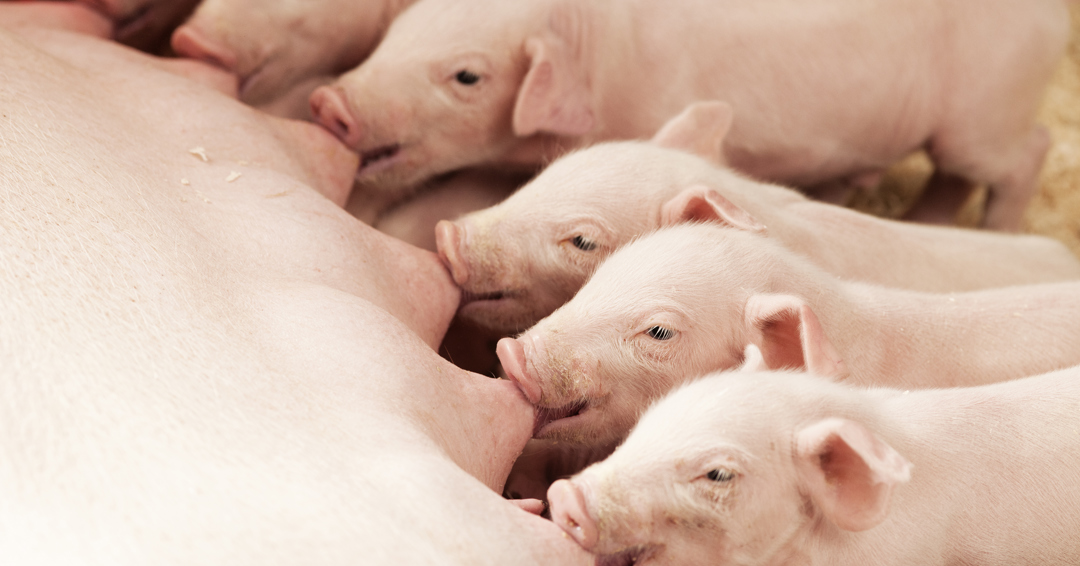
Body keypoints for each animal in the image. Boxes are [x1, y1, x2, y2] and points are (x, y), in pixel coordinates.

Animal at [309, 0, 1068, 229]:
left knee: (1028, 150)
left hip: (984, 118)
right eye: (400, 27)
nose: (328, 103)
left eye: (467, 75)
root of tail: (1053, 16)